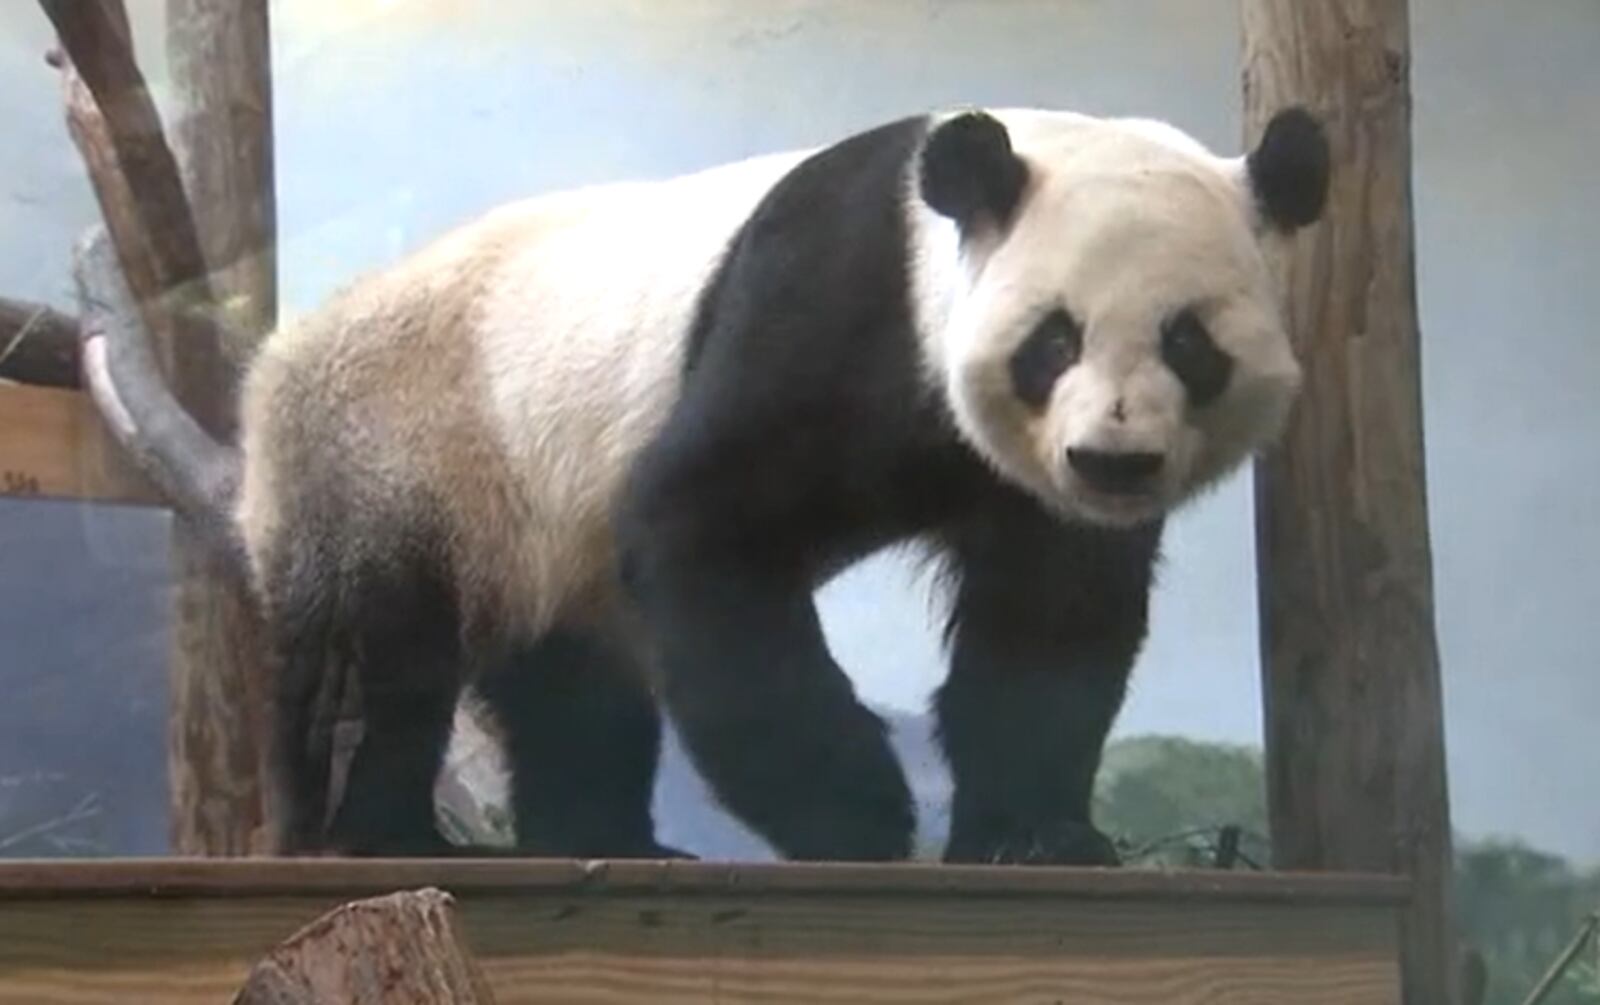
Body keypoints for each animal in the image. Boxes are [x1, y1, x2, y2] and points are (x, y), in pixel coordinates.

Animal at [222, 103, 1329, 864]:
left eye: (1189, 343)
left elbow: (1046, 622)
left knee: (572, 680)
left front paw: (1034, 833)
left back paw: (603, 836)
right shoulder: (834, 305)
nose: (1112, 461)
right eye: (1053, 341)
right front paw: (863, 813)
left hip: (530, 524)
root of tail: (275, 359)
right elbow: (701, 523)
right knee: (378, 654)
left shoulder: (1031, 490)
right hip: (396, 450)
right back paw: (377, 830)